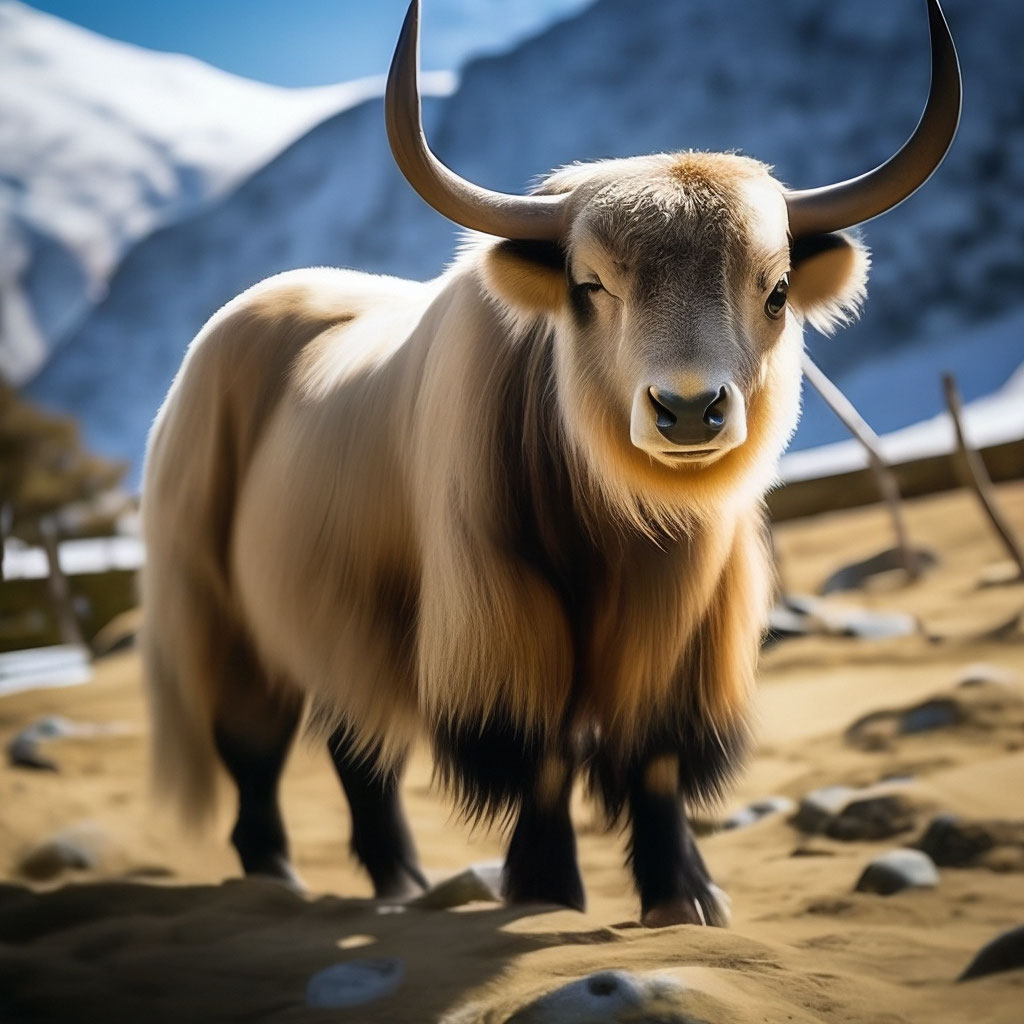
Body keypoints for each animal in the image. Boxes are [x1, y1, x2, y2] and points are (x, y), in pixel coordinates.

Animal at [142, 0, 959, 926]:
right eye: (591, 284)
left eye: (776, 288)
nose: (687, 409)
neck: (625, 534)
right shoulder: (501, 612)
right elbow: (546, 752)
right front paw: (547, 891)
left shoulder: (690, 637)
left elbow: (655, 754)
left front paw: (684, 898)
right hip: (225, 617)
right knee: (254, 743)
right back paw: (278, 876)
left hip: (340, 629)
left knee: (357, 745)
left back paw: (401, 882)